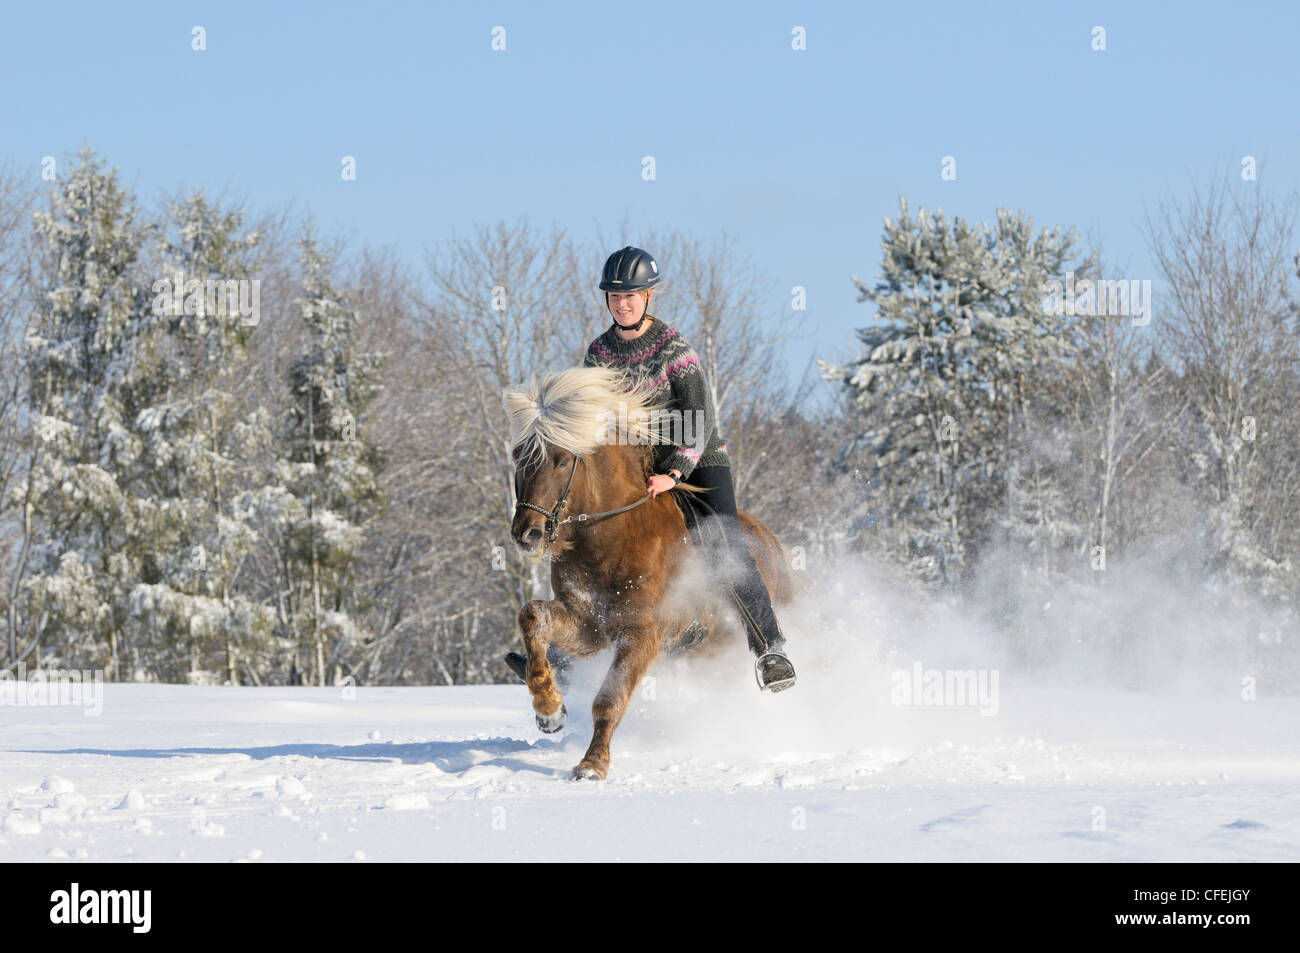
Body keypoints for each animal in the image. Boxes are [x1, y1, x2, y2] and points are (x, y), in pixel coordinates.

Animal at [504, 365, 796, 780]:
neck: (611, 536)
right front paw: (549, 710)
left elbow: (609, 698)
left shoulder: (642, 632)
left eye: (561, 460)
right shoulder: (588, 627)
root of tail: (770, 540)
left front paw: (592, 765)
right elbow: (532, 617)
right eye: (519, 457)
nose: (526, 533)